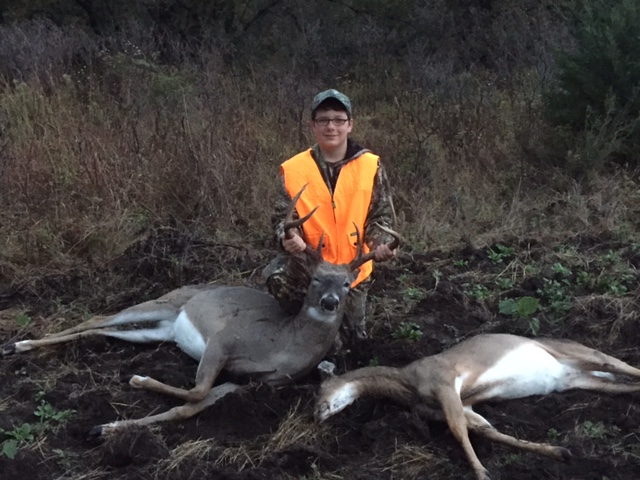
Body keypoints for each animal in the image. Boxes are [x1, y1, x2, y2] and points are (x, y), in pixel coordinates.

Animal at [1, 185, 400, 437]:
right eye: (317, 278)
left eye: (346, 284)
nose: (329, 302)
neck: (284, 344)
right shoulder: (225, 340)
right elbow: (195, 392)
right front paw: (139, 381)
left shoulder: (254, 381)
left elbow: (190, 406)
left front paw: (105, 428)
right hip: (167, 301)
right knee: (97, 318)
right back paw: (17, 345)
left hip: (161, 329)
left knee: (101, 330)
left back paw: (21, 346)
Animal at [314, 333, 640, 480]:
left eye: (319, 389)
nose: (316, 413)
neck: (408, 382)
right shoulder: (457, 405)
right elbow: (487, 430)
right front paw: (559, 452)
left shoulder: (445, 384)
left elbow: (458, 431)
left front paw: (481, 472)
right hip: (577, 380)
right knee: (623, 384)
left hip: (582, 354)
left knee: (617, 364)